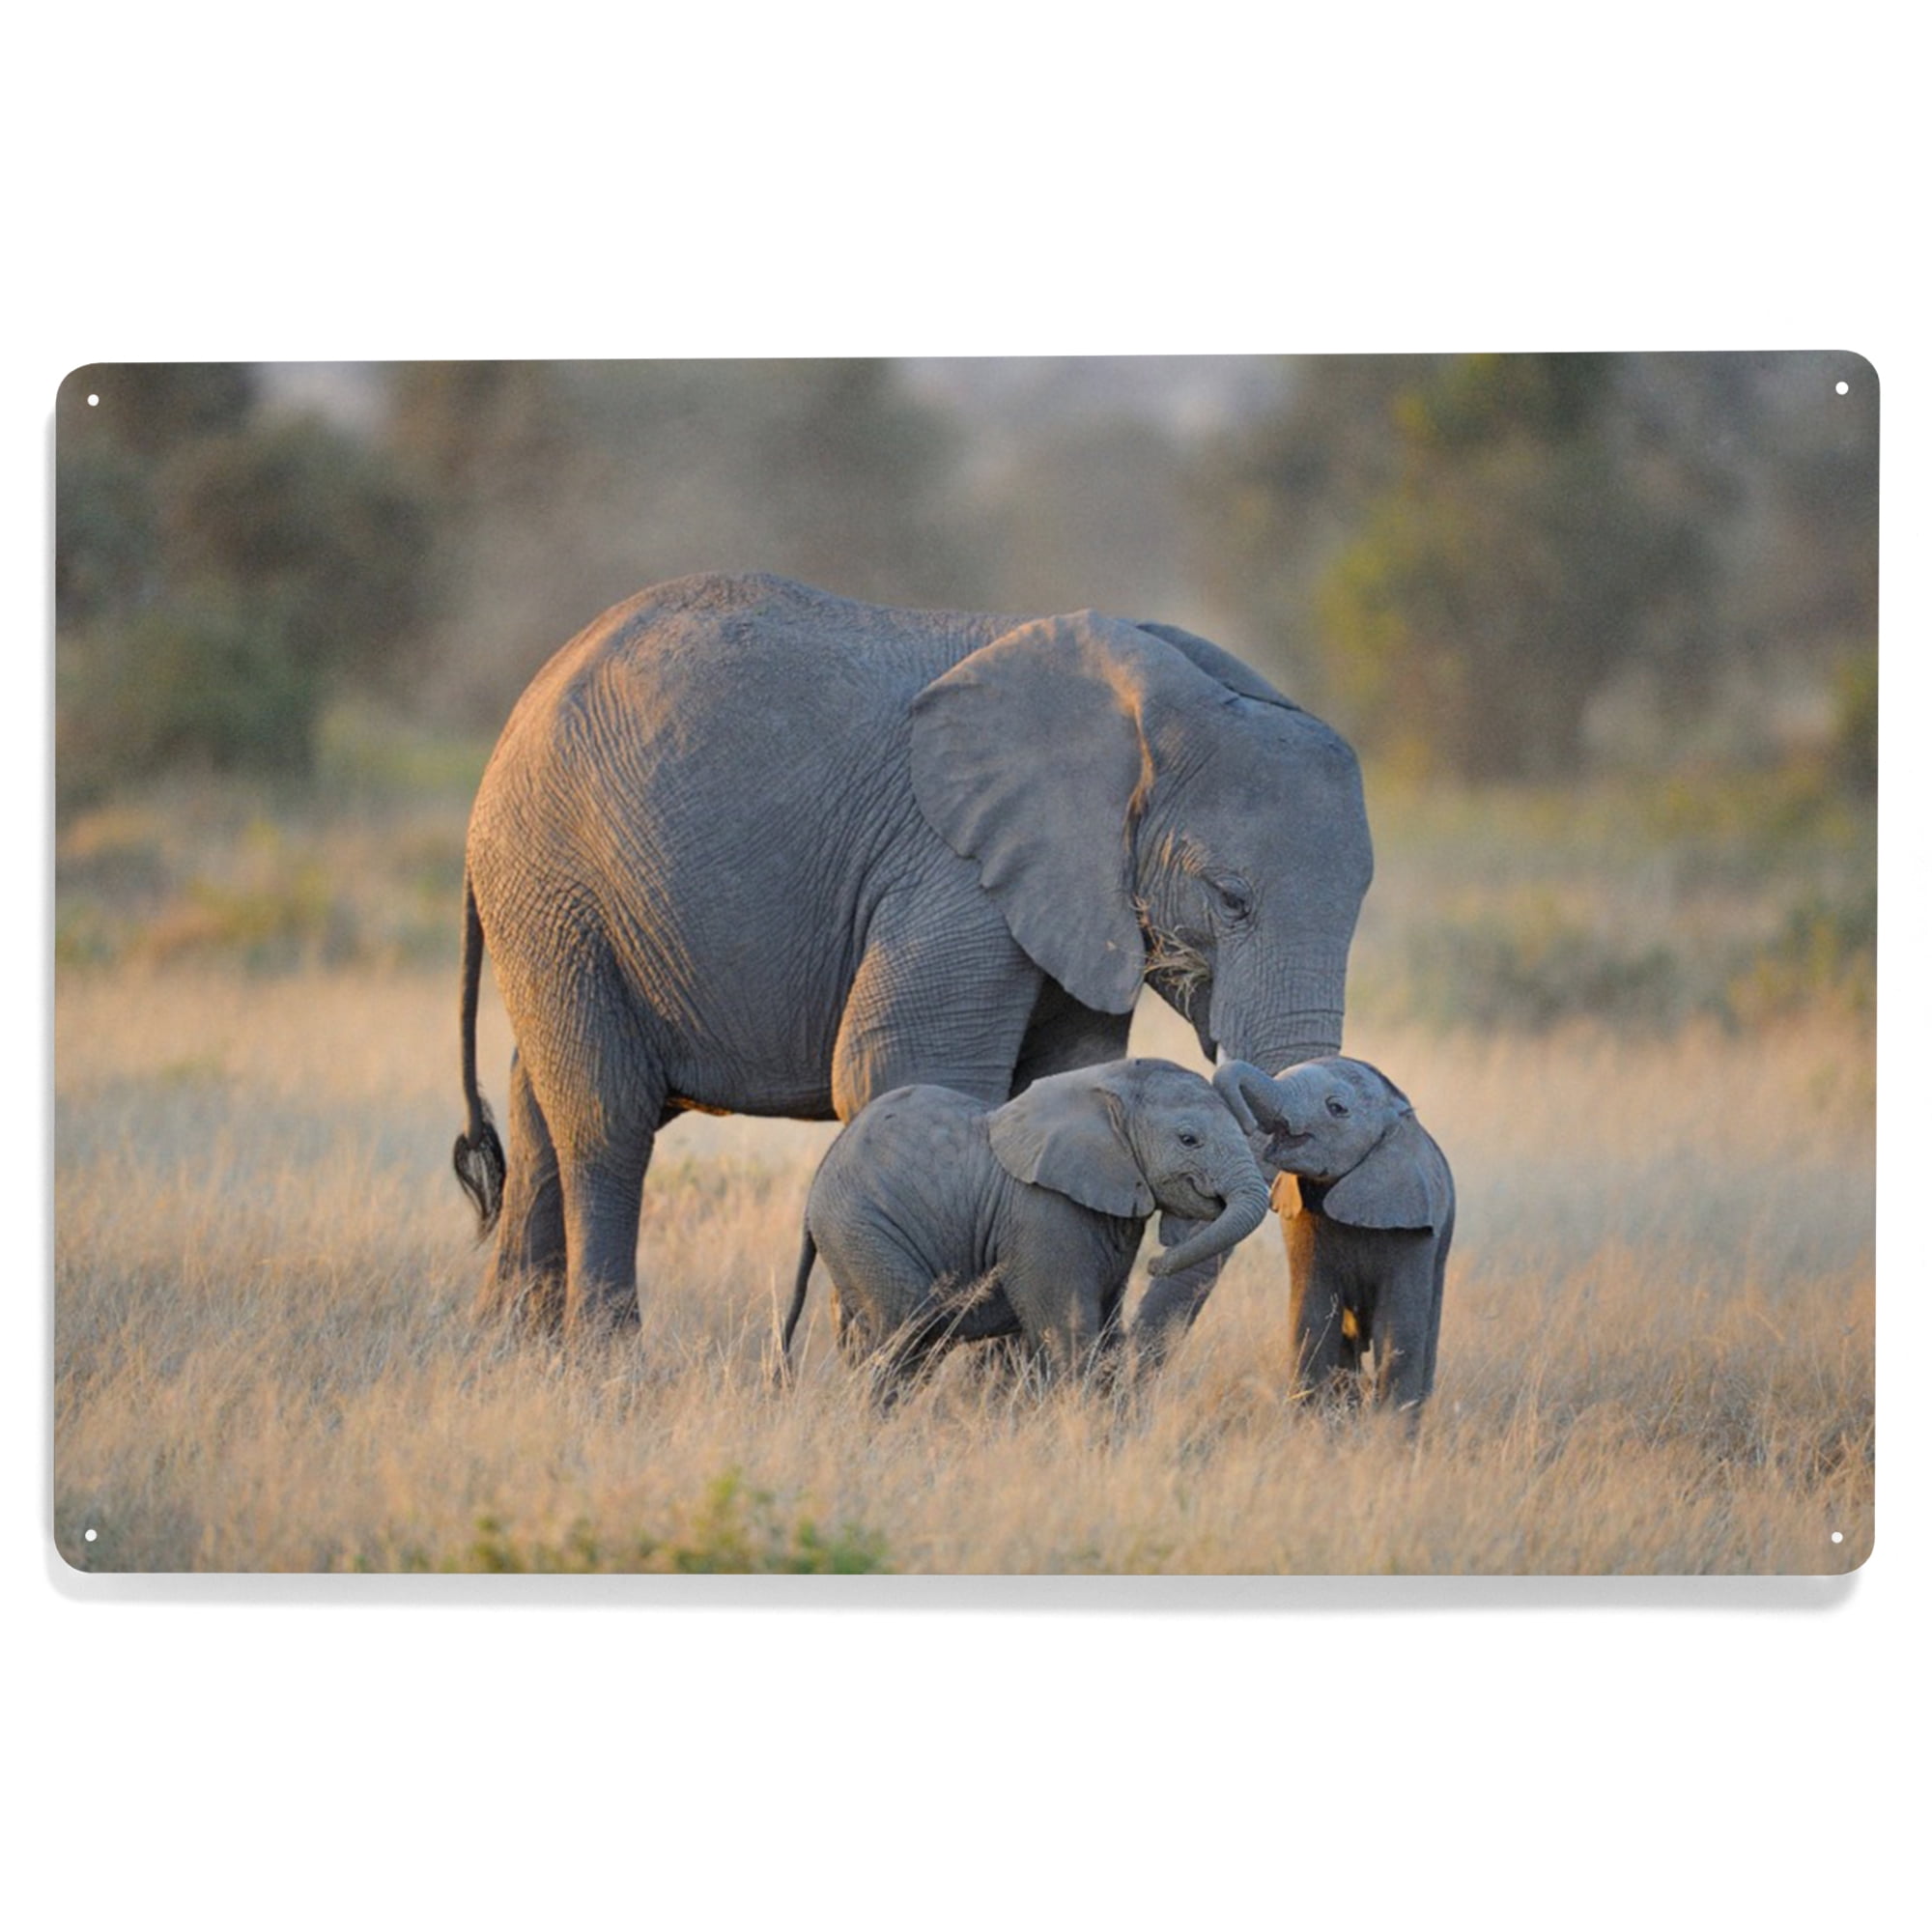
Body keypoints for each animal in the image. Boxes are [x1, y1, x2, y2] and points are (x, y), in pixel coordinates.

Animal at [451, 570, 1372, 1343]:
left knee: (541, 1106)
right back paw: (606, 1363)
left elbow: (1061, 1078)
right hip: (553, 881)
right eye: (1230, 897)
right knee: (605, 1119)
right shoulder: (952, 870)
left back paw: (511, 1355)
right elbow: (903, 1069)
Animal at [779, 1059, 1273, 1392]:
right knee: (907, 1333)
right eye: (1189, 1140)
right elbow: (1071, 1333)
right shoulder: (1044, 1215)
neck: (1106, 1086)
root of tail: (817, 1183)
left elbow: (1108, 1332)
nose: (1156, 1263)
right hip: (862, 1227)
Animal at [1213, 1057, 1454, 1413]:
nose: (1244, 1123)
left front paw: (1389, 1429)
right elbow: (1312, 1319)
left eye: (1336, 1108)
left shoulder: (1414, 1225)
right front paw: (1312, 1423)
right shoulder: (1302, 1219)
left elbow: (1398, 1330)